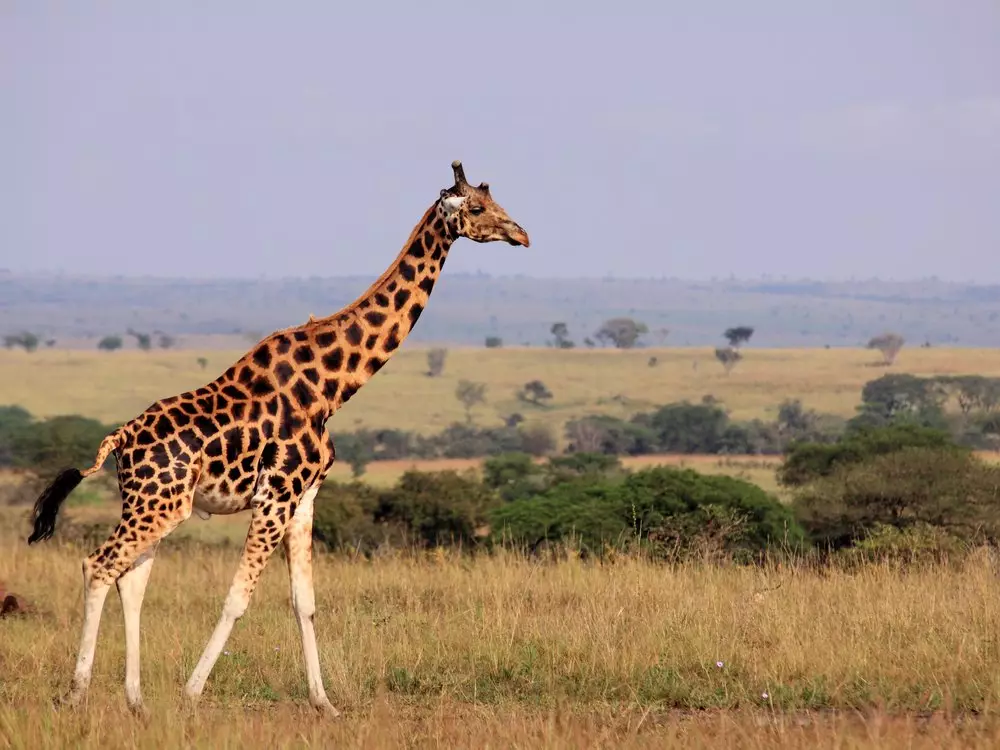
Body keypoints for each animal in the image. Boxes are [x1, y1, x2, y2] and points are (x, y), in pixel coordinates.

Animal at [25, 162, 532, 720]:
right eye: (479, 208)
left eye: (498, 203)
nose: (522, 235)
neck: (334, 387)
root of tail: (119, 440)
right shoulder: (276, 494)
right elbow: (238, 597)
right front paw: (192, 693)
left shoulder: (305, 495)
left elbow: (303, 603)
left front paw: (324, 703)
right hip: (158, 505)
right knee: (98, 565)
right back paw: (76, 693)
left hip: (153, 504)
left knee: (131, 579)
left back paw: (136, 701)